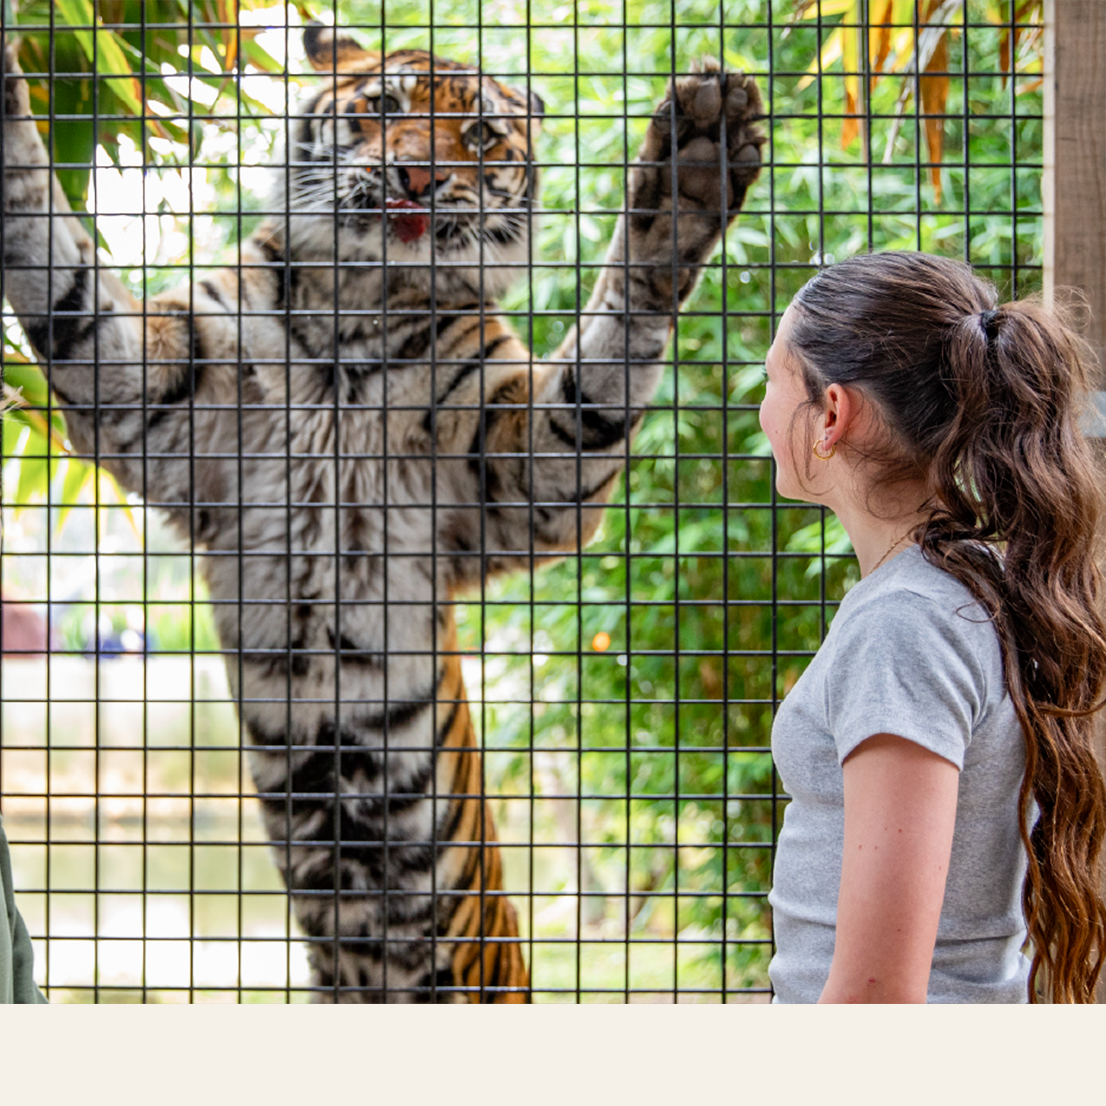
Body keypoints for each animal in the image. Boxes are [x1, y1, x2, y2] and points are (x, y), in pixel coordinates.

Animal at [1, 23, 764, 1002]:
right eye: (384, 107)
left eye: (478, 136)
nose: (417, 177)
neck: (355, 309)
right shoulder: (141, 389)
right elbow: (54, 255)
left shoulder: (526, 477)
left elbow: (600, 373)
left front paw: (688, 179)